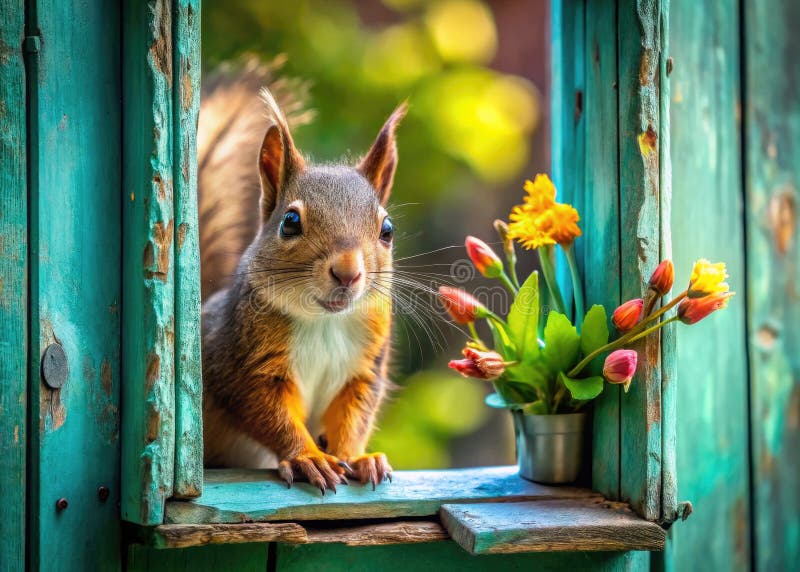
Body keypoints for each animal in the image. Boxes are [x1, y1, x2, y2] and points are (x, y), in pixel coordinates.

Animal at [197, 62, 405, 493]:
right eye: (290, 222)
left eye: (387, 229)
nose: (347, 272)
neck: (325, 321)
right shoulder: (245, 366)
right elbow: (270, 414)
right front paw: (309, 458)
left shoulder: (363, 370)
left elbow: (352, 416)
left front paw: (357, 457)